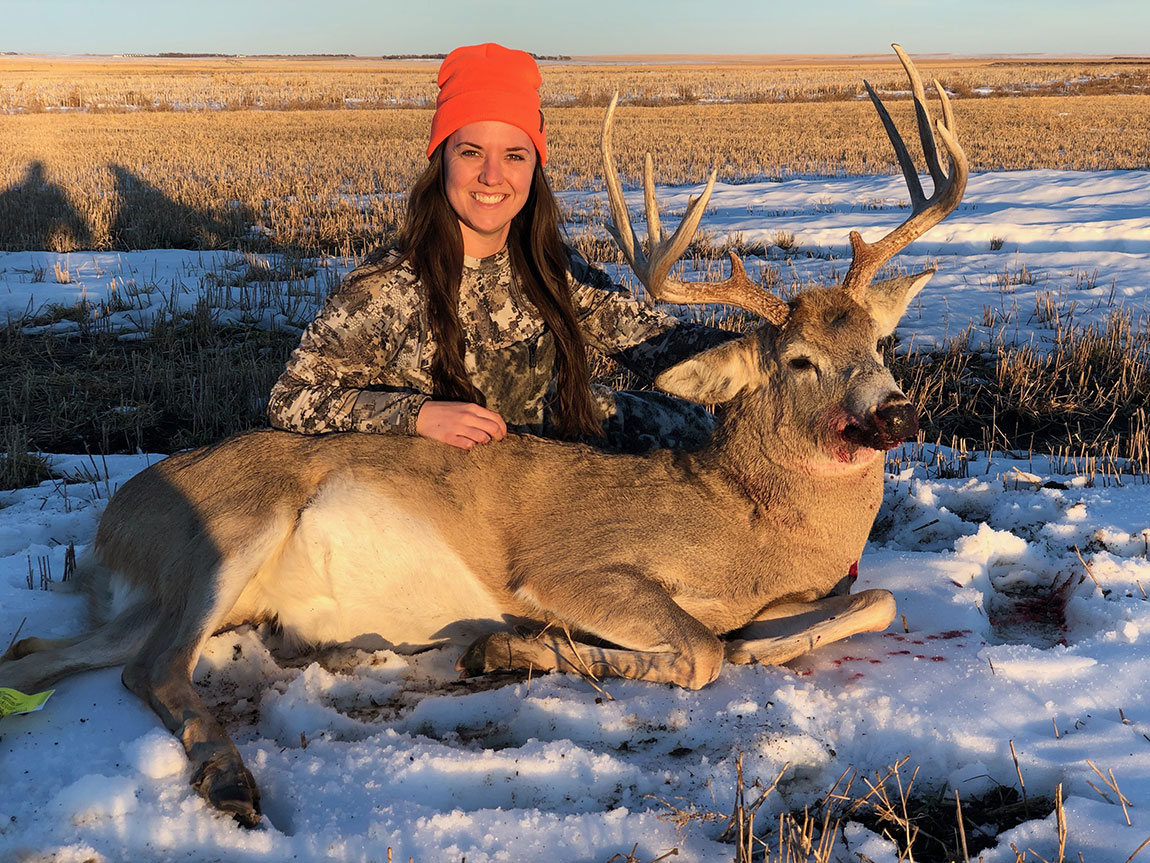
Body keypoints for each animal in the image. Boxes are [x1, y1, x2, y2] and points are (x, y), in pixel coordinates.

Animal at [0, 45, 967, 828]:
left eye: (877, 343)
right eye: (800, 359)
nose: (897, 413)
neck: (745, 527)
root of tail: (114, 521)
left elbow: (867, 602)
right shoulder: (571, 565)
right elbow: (697, 652)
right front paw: (514, 643)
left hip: (167, 595)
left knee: (49, 653)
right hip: (230, 528)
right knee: (156, 668)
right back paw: (233, 782)